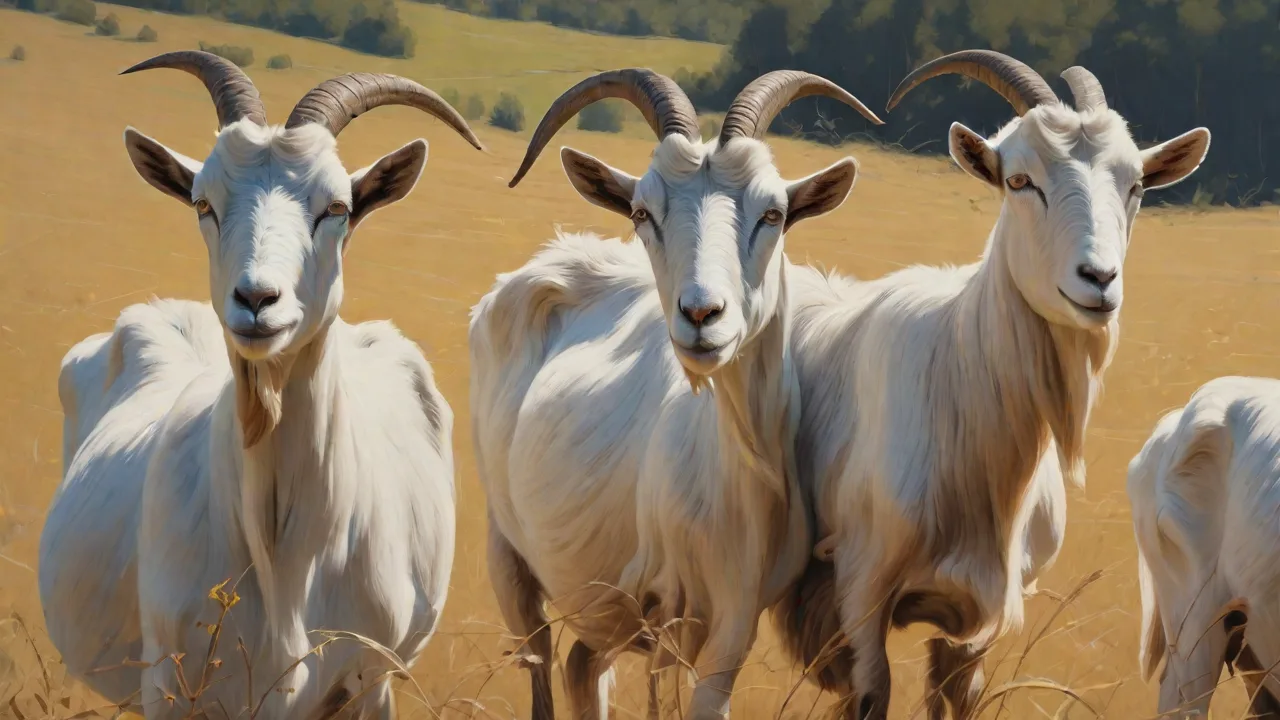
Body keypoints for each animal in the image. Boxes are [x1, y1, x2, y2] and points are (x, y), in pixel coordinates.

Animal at [38, 51, 481, 718]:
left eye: (337, 207)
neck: (283, 555)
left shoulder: (370, 681)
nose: (255, 300)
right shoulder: (169, 685)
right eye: (203, 202)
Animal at [470, 69, 880, 720]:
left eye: (774, 212)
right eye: (643, 212)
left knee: (581, 664)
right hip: (509, 555)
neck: (734, 479)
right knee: (542, 666)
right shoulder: (666, 612)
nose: (702, 314)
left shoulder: (735, 619)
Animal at [774, 50, 1210, 719]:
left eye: (1136, 185)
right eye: (1019, 180)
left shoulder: (978, 625)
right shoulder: (861, 593)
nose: (1098, 279)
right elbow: (872, 693)